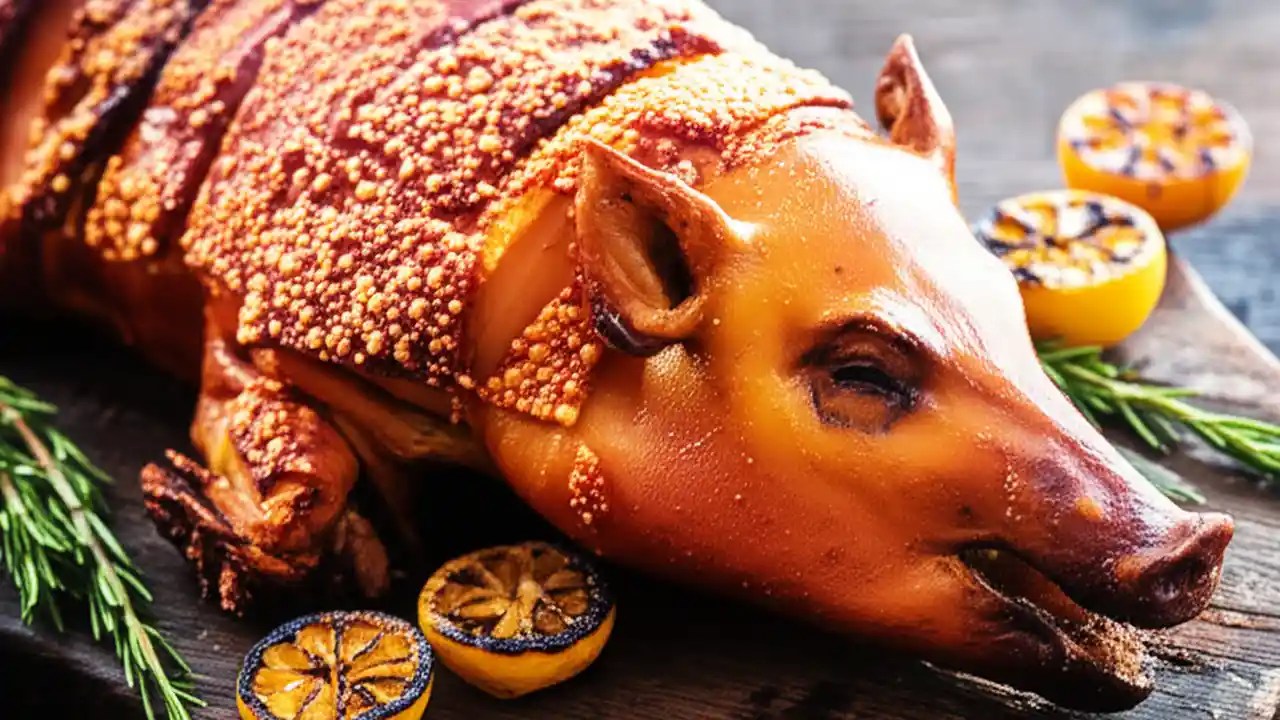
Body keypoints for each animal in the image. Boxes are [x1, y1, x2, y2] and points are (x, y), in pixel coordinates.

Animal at [0, 0, 1231, 710]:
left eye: (1015, 306)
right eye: (861, 373)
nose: (1195, 541)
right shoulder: (251, 300)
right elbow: (290, 472)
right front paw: (187, 499)